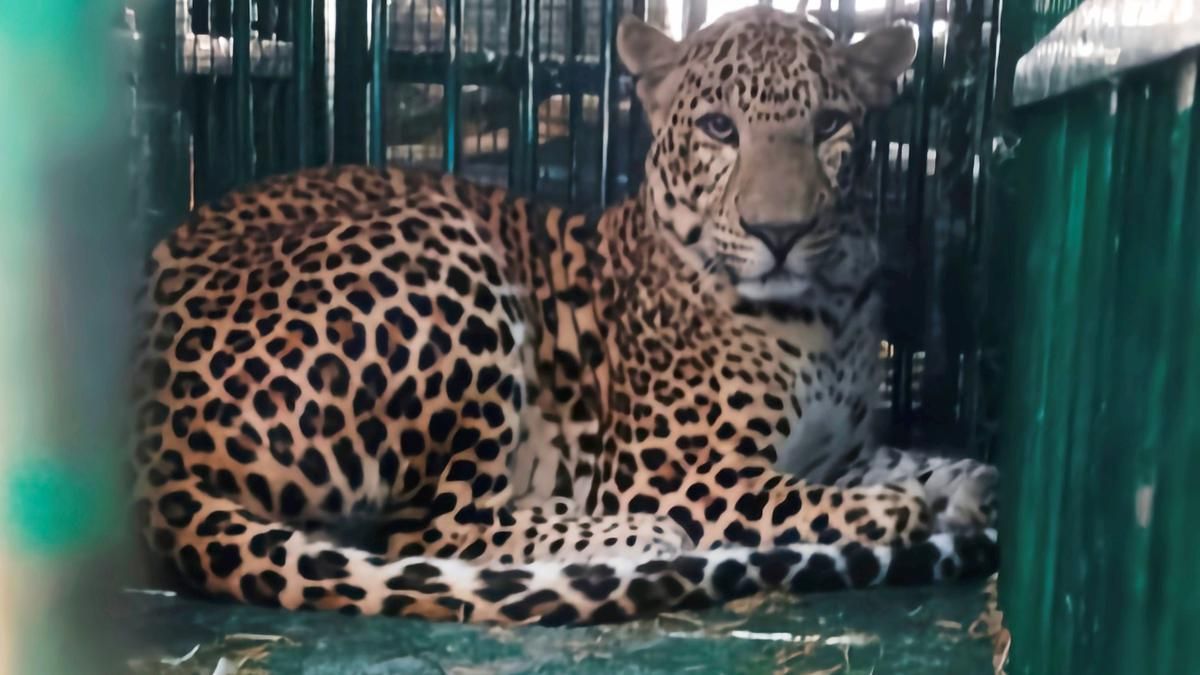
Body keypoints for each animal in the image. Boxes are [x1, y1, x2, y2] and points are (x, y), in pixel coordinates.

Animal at [130, 6, 998, 626]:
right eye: (720, 127)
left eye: (830, 127)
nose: (778, 233)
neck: (826, 307)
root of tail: (145, 447)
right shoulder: (677, 469)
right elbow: (792, 500)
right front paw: (886, 511)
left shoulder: (836, 450)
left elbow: (915, 459)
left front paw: (972, 485)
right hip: (447, 250)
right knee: (434, 531)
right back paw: (627, 532)